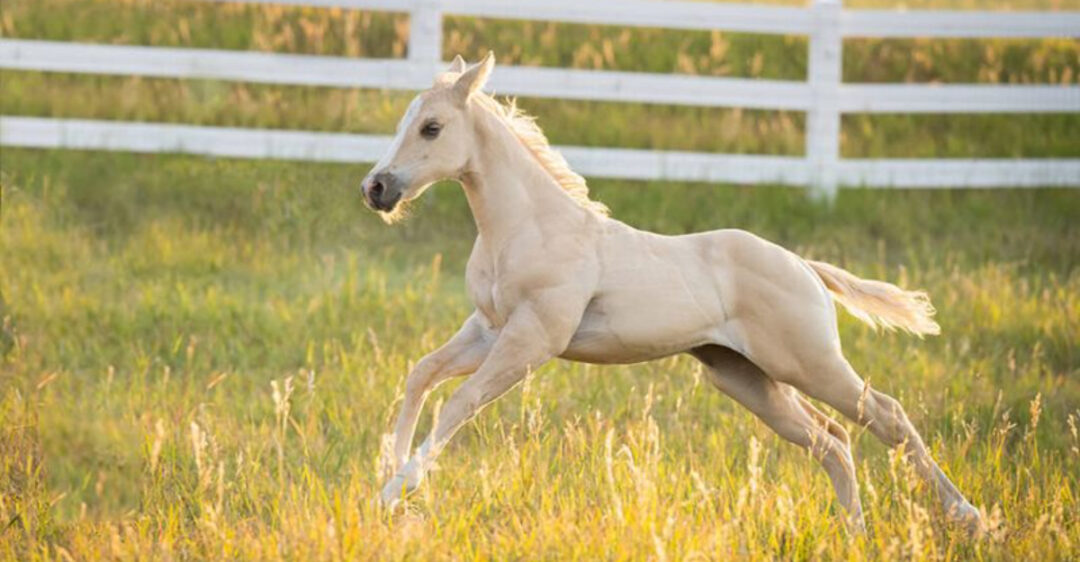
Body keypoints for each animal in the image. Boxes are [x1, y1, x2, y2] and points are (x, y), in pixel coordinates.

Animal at [360, 53, 981, 532]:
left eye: (432, 127)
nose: (376, 188)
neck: (529, 226)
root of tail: (804, 266)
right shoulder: (487, 331)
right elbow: (421, 374)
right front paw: (387, 477)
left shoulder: (531, 340)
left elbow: (460, 401)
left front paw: (399, 489)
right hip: (746, 378)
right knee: (833, 442)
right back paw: (855, 533)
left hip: (810, 363)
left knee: (887, 416)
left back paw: (967, 516)